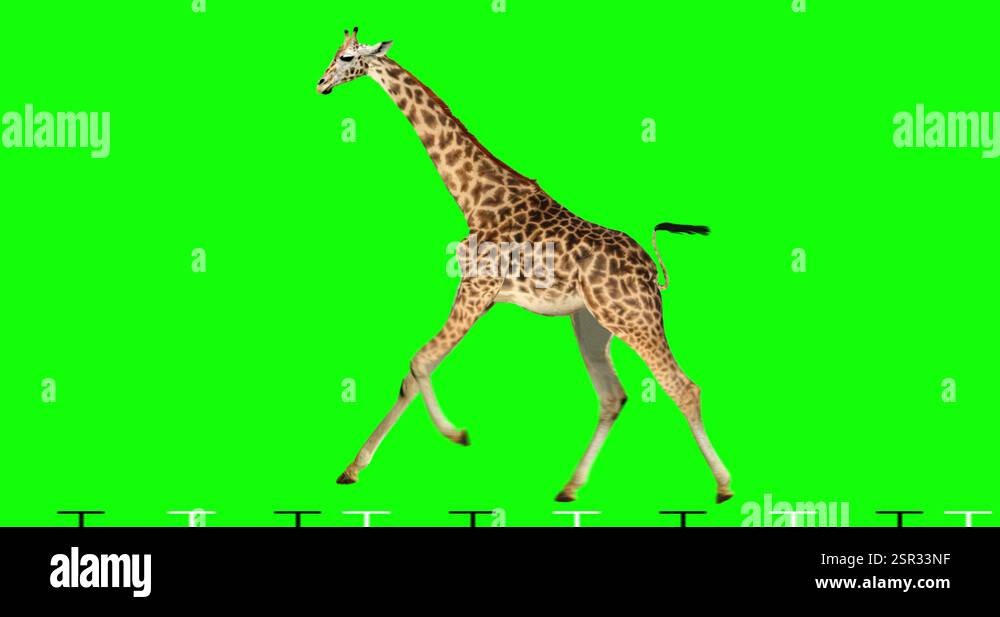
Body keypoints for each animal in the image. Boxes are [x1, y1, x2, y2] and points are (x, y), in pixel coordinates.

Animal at [317, 28, 733, 503]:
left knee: (683, 387)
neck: (472, 197)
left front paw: (457, 434)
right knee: (613, 397)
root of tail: (651, 271)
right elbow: (415, 371)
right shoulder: (479, 295)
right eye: (335, 55)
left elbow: (419, 362)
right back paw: (569, 487)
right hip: (593, 323)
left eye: (347, 57)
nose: (322, 83)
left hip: (633, 317)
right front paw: (352, 469)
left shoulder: (475, 288)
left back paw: (723, 486)